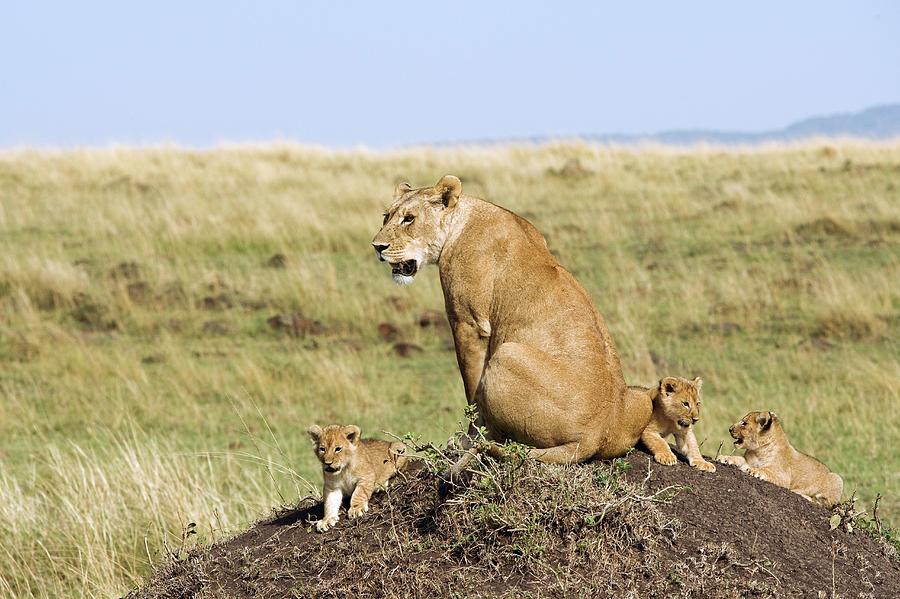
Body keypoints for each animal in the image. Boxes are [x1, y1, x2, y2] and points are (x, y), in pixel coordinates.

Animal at [371, 175, 652, 463]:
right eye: (386, 216)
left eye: (409, 219)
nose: (377, 247)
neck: (460, 220)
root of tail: (594, 437)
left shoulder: (468, 323)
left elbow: (472, 391)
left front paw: (466, 440)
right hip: (642, 397)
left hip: (507, 353)